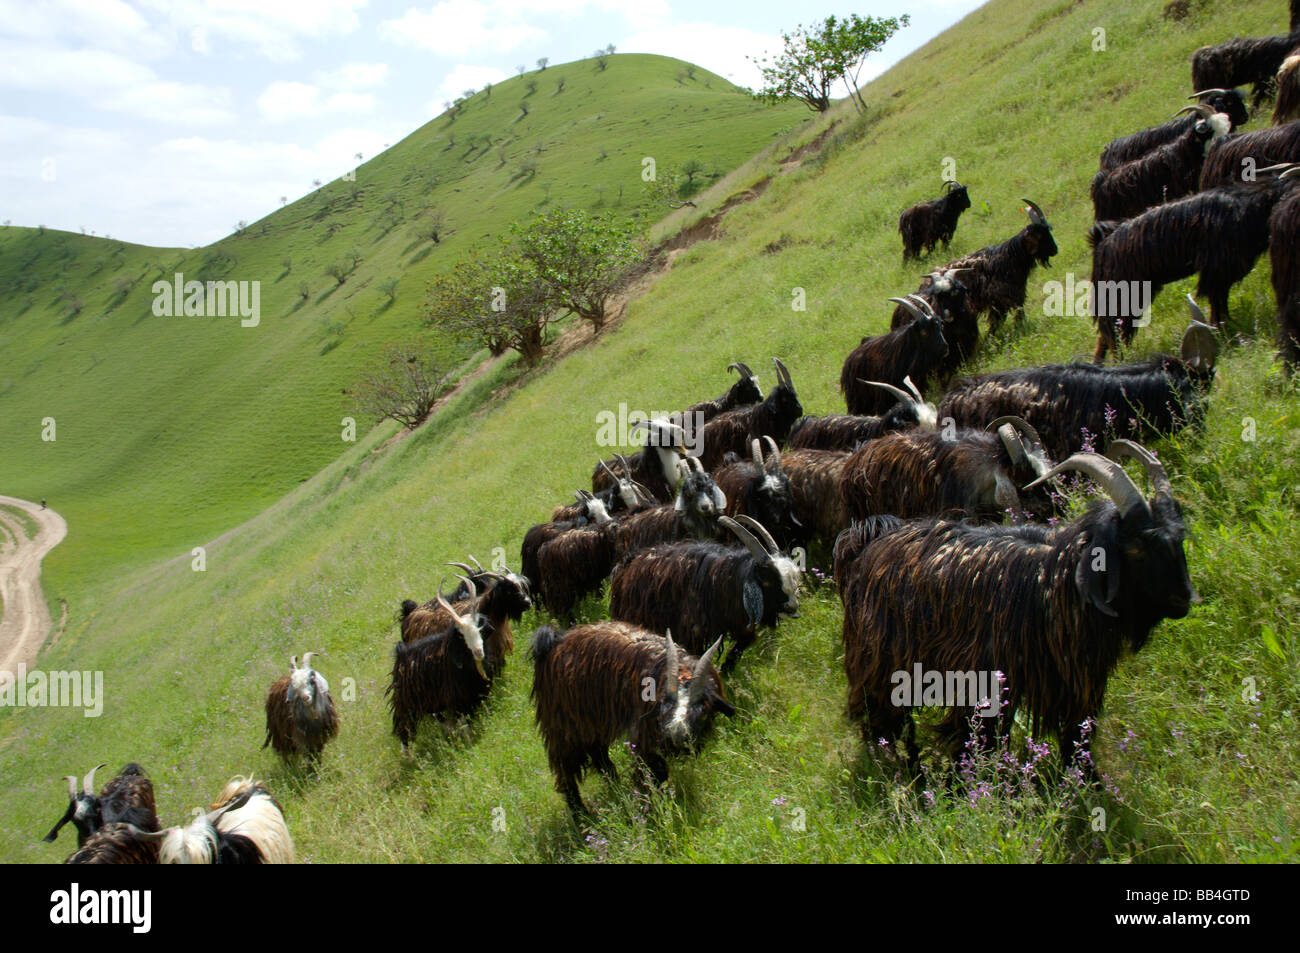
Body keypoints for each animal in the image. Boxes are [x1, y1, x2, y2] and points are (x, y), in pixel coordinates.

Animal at [388, 577, 498, 749]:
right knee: (405, 729)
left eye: (479, 629)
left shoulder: (479, 692)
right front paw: (468, 743)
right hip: (404, 703)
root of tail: (401, 652)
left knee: (437, 715)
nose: (478, 652)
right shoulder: (456, 701)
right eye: (461, 634)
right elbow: (464, 725)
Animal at [529, 621, 733, 815]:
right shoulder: (644, 737)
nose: (675, 734)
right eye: (665, 702)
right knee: (566, 772)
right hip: (563, 726)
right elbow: (655, 773)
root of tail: (554, 642)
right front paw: (649, 809)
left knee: (599, 756)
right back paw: (582, 818)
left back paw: (616, 790)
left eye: (702, 708)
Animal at [609, 515, 803, 671]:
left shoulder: (741, 624)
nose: (793, 608)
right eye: (768, 582)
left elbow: (737, 651)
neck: (723, 582)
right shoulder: (693, 632)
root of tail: (629, 562)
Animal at [835, 439, 1195, 772]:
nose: (1184, 600)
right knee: (881, 716)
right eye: (1137, 545)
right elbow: (978, 737)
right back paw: (895, 764)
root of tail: (870, 539)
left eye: (1180, 537)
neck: (1057, 583)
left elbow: (1077, 737)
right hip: (879, 659)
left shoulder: (1080, 686)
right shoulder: (986, 680)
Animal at [1089, 172, 1296, 360]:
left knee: (1107, 335)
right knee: (1113, 333)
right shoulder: (1217, 272)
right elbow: (1218, 303)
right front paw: (1222, 331)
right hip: (1124, 296)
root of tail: (1101, 244)